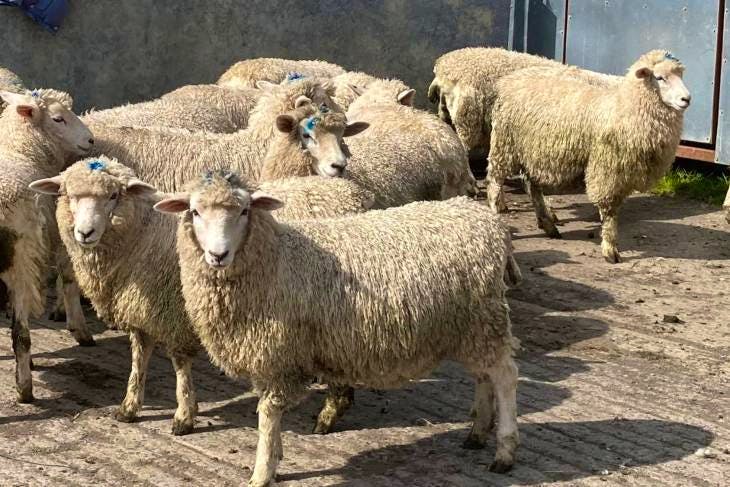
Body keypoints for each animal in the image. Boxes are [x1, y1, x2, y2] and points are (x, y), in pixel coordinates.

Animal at [0, 89, 95, 402]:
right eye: (58, 119)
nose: (91, 140)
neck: (20, 149)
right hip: (20, 261)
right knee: (21, 334)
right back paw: (25, 389)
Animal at [155, 172, 520, 485]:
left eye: (244, 210)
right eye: (194, 211)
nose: (218, 254)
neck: (273, 259)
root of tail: (488, 221)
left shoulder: (278, 356)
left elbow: (268, 413)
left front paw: (263, 470)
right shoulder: (265, 356)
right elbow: (270, 414)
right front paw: (275, 457)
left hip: (484, 320)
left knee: (504, 377)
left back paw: (504, 452)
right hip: (470, 327)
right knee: (483, 376)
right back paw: (477, 433)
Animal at [487, 50, 690, 263]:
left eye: (681, 75)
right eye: (659, 77)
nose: (686, 99)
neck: (623, 107)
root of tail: (510, 79)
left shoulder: (622, 173)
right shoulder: (606, 170)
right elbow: (609, 211)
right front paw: (610, 249)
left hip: (533, 152)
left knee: (532, 186)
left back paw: (548, 225)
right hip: (504, 144)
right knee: (494, 182)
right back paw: (497, 216)